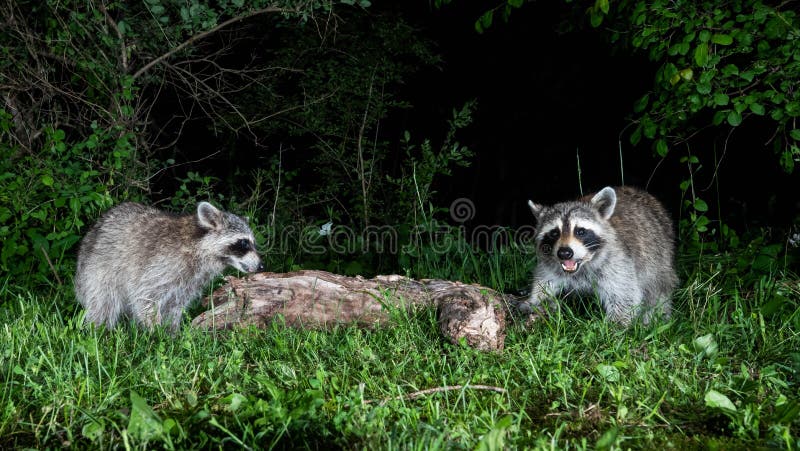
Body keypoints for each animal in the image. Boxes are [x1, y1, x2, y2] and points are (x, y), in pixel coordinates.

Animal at [74, 201, 263, 331]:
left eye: (253, 242)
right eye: (244, 243)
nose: (261, 266)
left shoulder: (191, 279)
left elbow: (175, 304)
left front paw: (172, 332)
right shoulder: (163, 265)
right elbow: (145, 296)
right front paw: (155, 332)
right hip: (99, 269)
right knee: (104, 302)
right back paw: (100, 330)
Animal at [524, 186, 678, 326]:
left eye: (580, 231)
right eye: (554, 233)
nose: (565, 253)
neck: (581, 267)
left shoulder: (618, 262)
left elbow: (624, 295)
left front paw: (614, 326)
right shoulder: (550, 265)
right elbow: (543, 284)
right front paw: (535, 303)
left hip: (660, 258)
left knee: (657, 290)